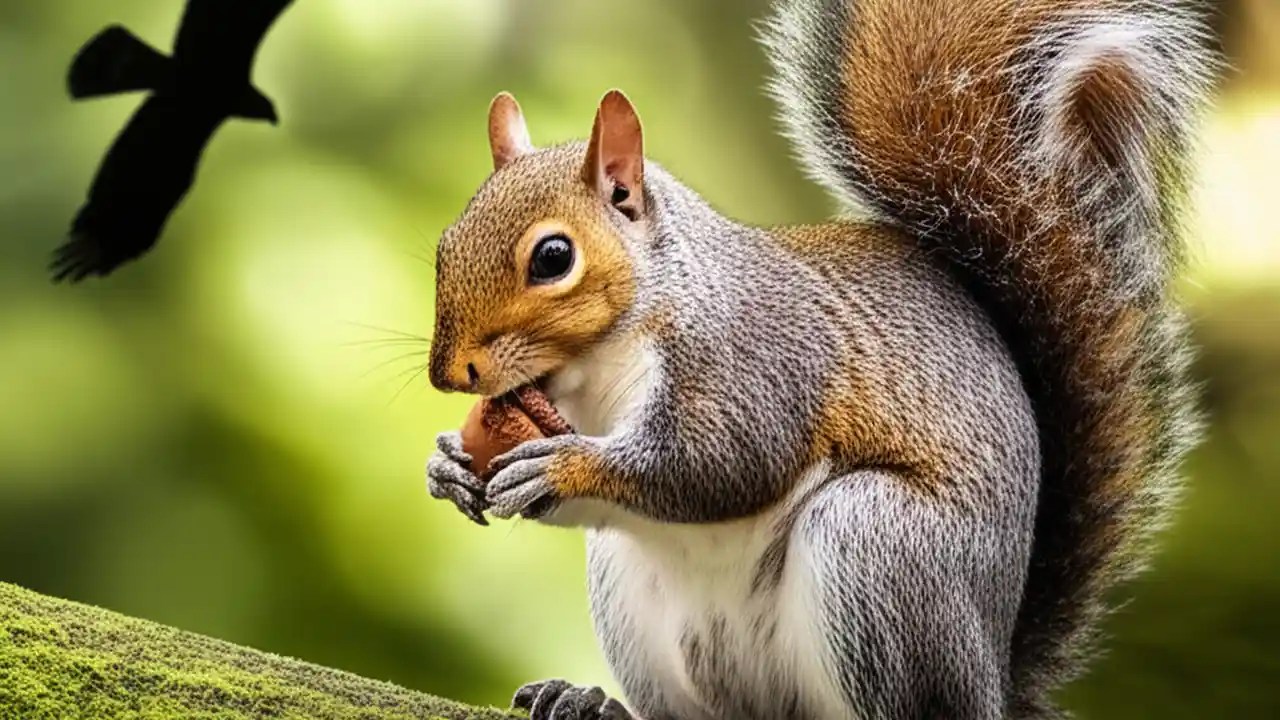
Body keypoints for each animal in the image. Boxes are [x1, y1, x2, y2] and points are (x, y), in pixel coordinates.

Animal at [424, 0, 1214, 718]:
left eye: (553, 257)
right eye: (444, 244)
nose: (448, 373)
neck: (604, 359)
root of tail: (994, 681)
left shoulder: (760, 357)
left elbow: (719, 464)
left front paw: (563, 465)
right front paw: (449, 466)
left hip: (878, 549)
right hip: (636, 596)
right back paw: (590, 703)